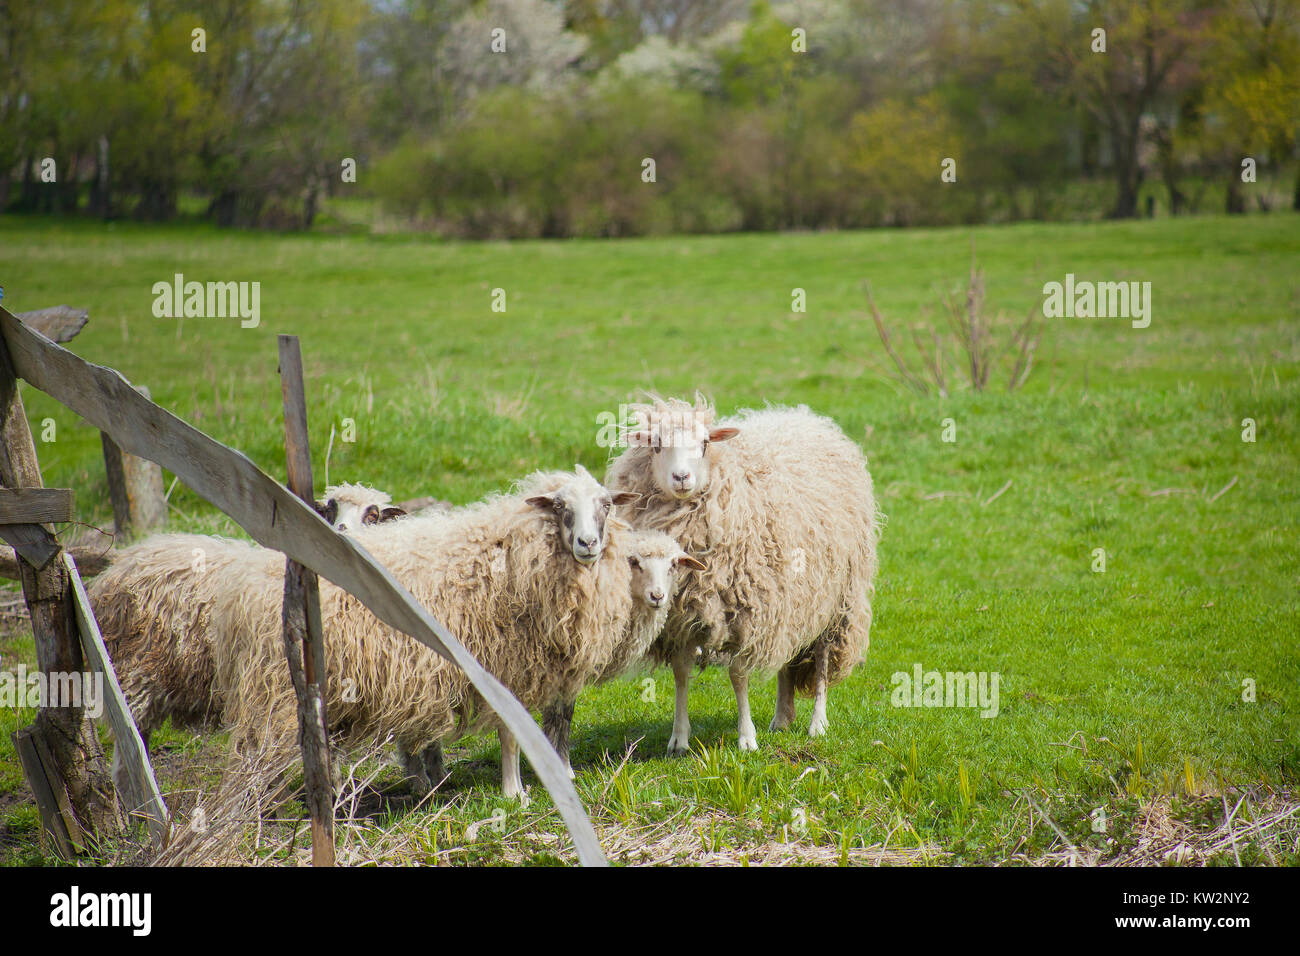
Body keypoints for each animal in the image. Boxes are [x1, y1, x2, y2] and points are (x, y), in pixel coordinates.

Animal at [604, 394, 880, 753]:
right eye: (657, 445)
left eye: (705, 444)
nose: (682, 477)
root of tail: (805, 417)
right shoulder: (679, 618)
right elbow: (681, 674)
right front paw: (679, 738)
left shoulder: (745, 610)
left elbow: (738, 676)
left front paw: (747, 737)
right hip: (795, 600)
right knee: (787, 658)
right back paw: (781, 718)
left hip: (838, 599)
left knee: (821, 658)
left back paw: (817, 723)